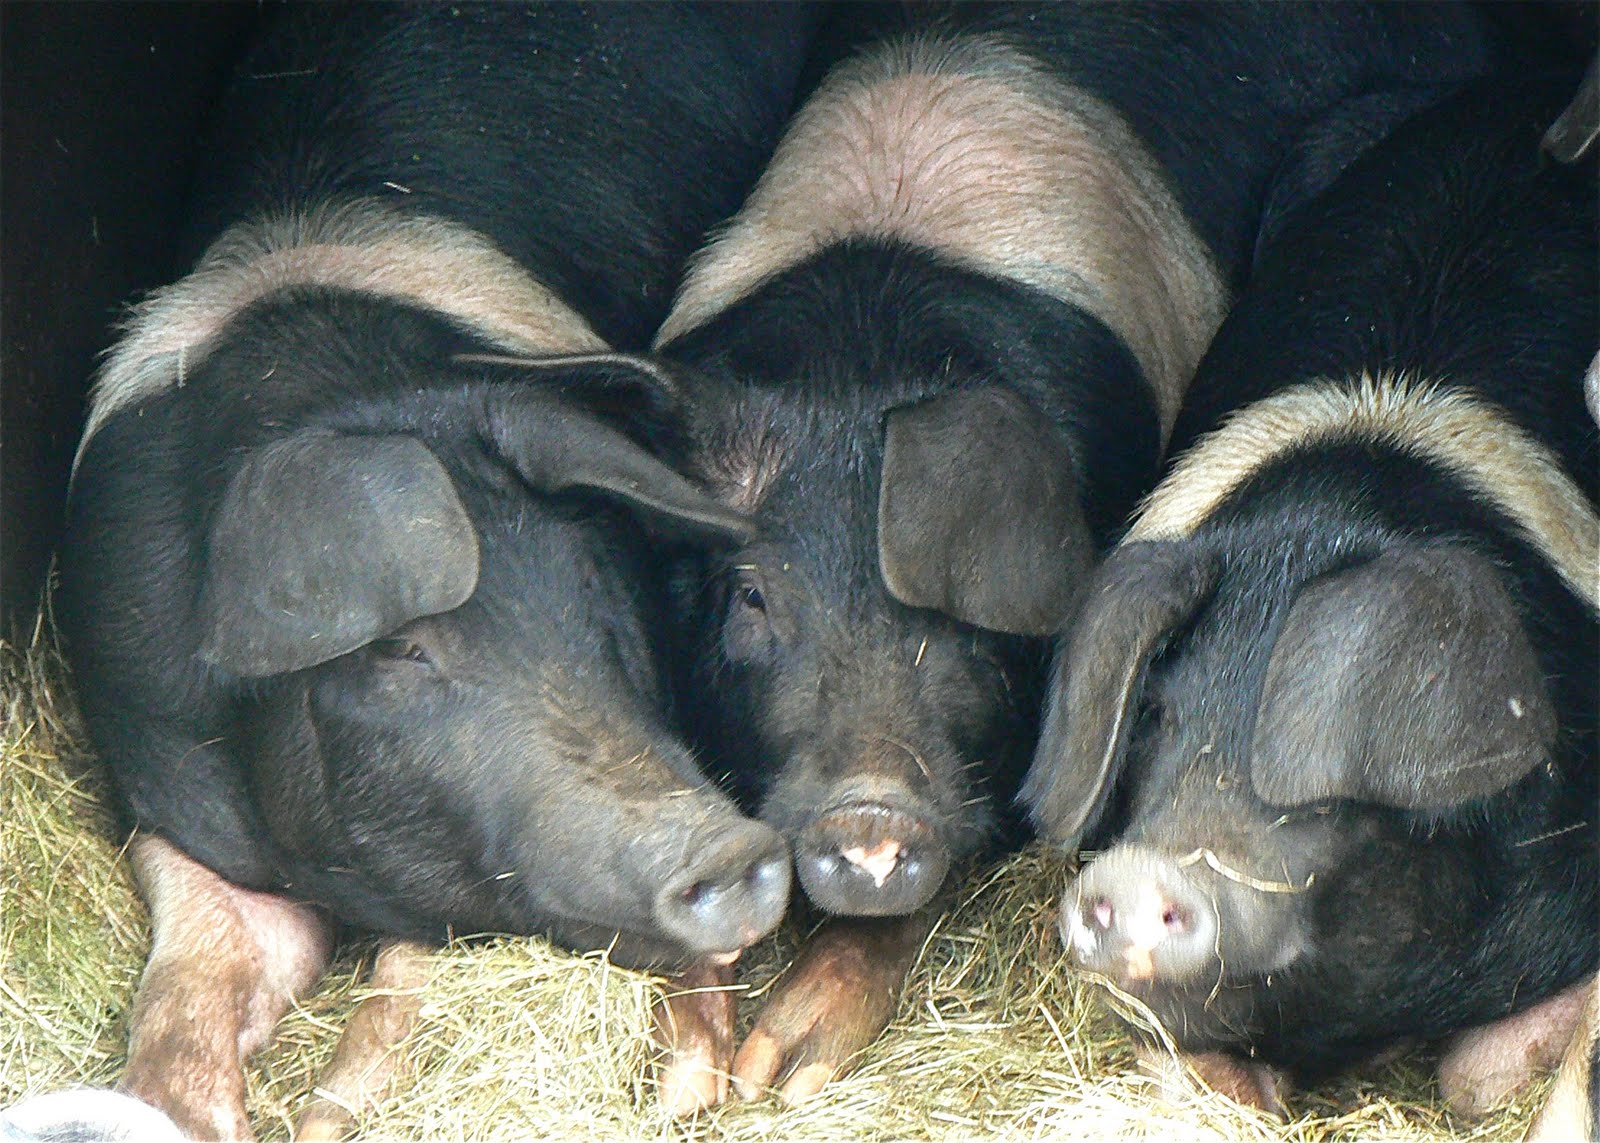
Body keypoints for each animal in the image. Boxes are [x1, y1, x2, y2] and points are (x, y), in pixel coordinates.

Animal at [56, 4, 819, 1135]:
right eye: (404, 651)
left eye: (597, 595)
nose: (727, 849)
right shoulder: (162, 769)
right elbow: (193, 981)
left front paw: (684, 1084)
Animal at [640, 1, 1505, 1106]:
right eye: (753, 597)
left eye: (971, 611)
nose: (870, 816)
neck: (867, 347)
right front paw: (693, 1079)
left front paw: (779, 1077)